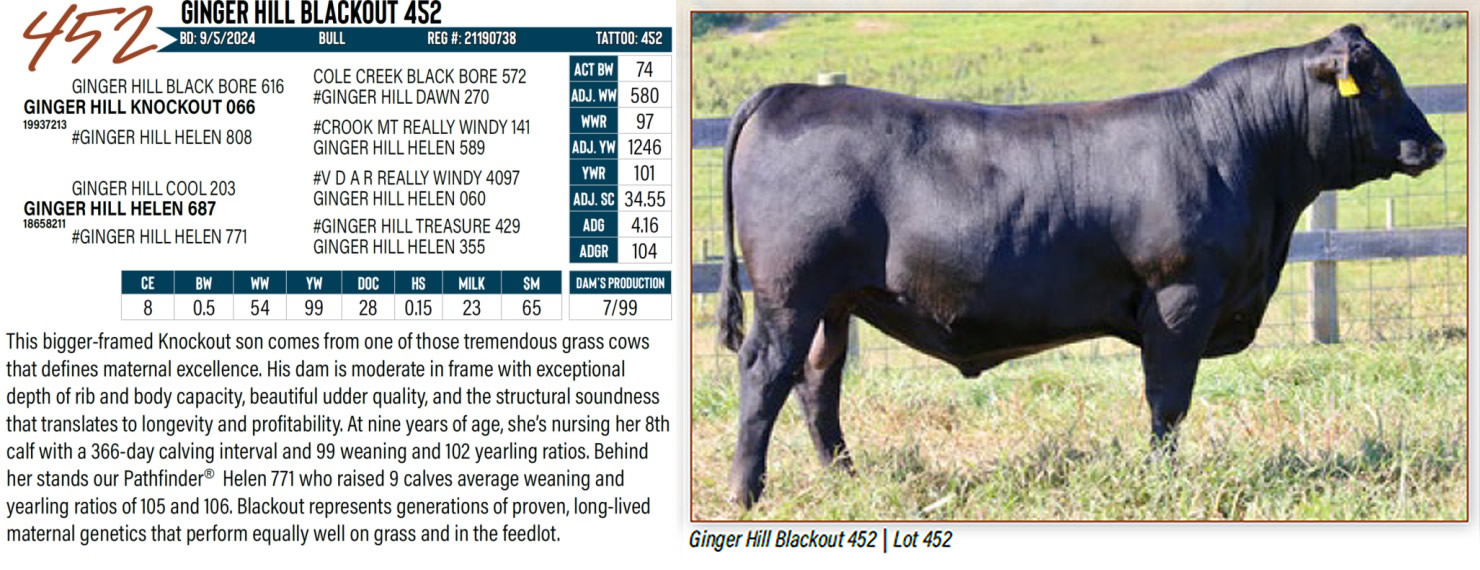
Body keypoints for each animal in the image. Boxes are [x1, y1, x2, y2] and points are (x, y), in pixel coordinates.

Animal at [714, 25, 1445, 507]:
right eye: (1378, 82)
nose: (1434, 144)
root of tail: (788, 93)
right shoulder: (1180, 296)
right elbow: (1168, 399)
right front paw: (1163, 479)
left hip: (834, 301)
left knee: (817, 379)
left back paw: (845, 477)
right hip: (791, 290)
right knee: (766, 373)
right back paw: (746, 493)